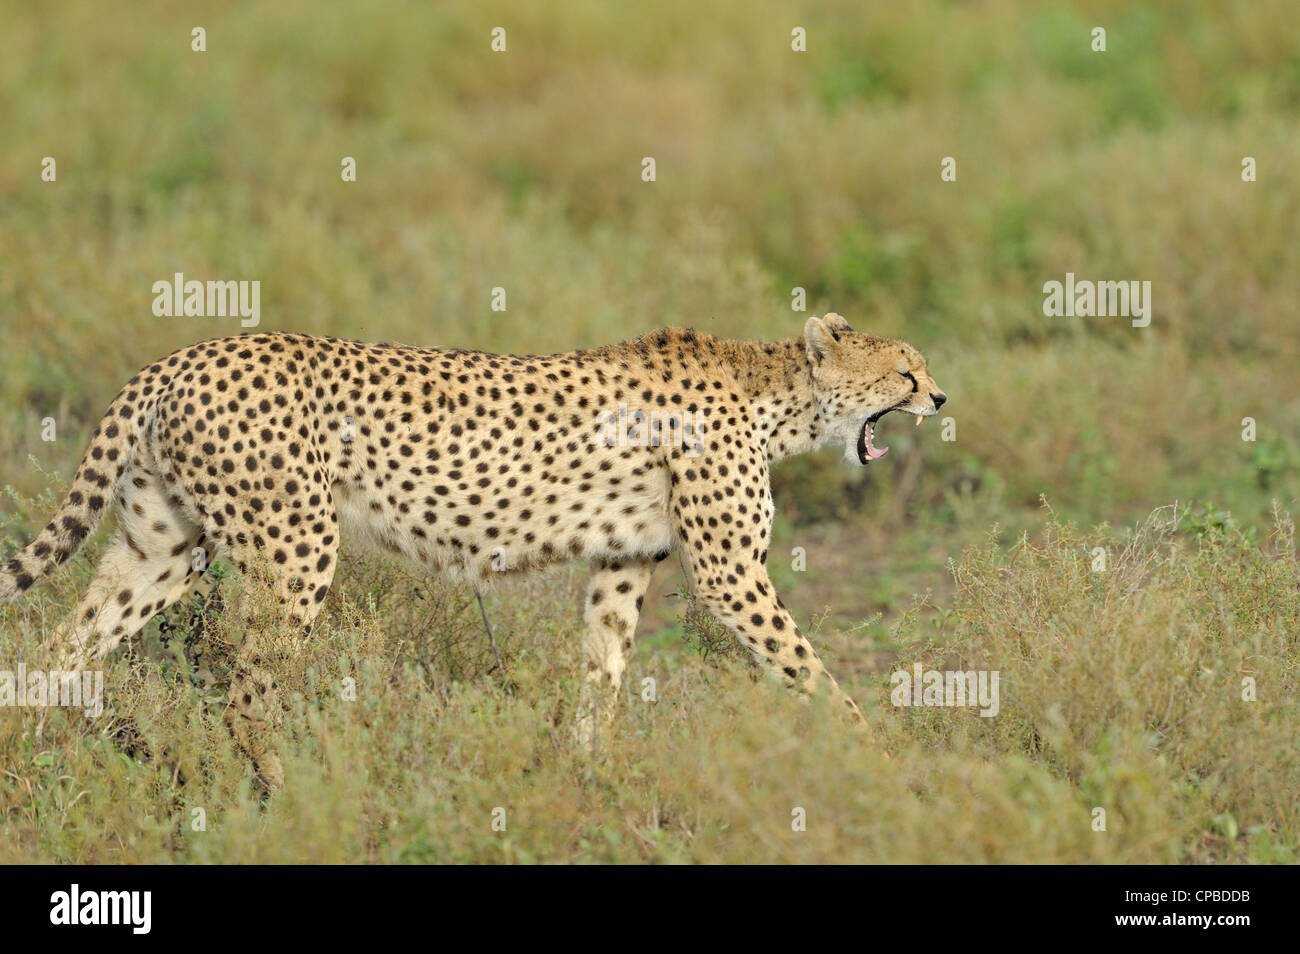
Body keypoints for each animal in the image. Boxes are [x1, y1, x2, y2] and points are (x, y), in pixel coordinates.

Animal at [0, 313, 946, 787]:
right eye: (905, 371)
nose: (938, 397)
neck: (778, 394)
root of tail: (186, 353)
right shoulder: (728, 573)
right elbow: (807, 667)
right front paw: (880, 758)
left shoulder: (623, 563)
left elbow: (602, 673)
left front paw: (588, 775)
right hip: (297, 548)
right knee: (246, 690)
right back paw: (286, 784)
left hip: (161, 547)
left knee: (59, 651)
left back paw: (34, 758)